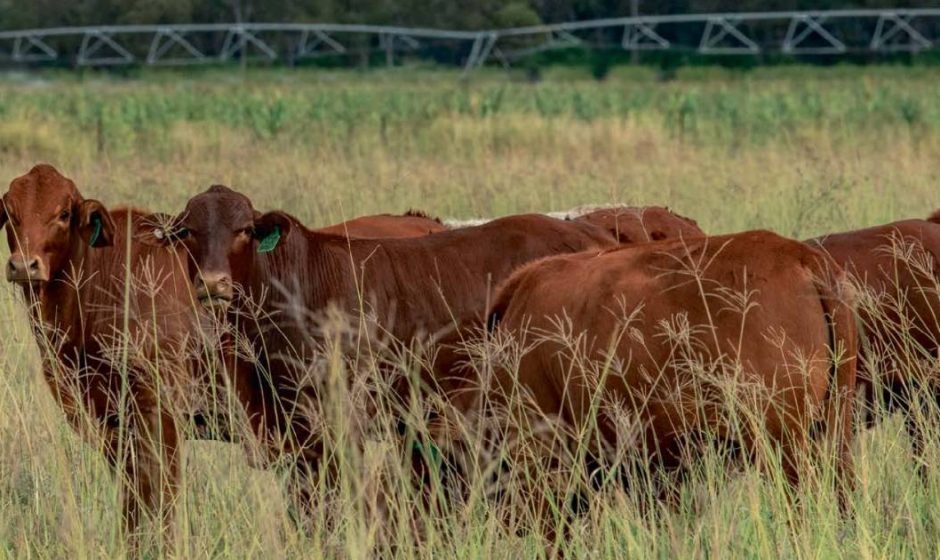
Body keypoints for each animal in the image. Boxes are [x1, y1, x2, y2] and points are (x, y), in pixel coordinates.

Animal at [1, 164, 208, 552]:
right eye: (9, 212)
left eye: (63, 214)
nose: (23, 266)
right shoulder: (110, 421)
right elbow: (132, 502)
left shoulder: (163, 414)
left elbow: (162, 495)